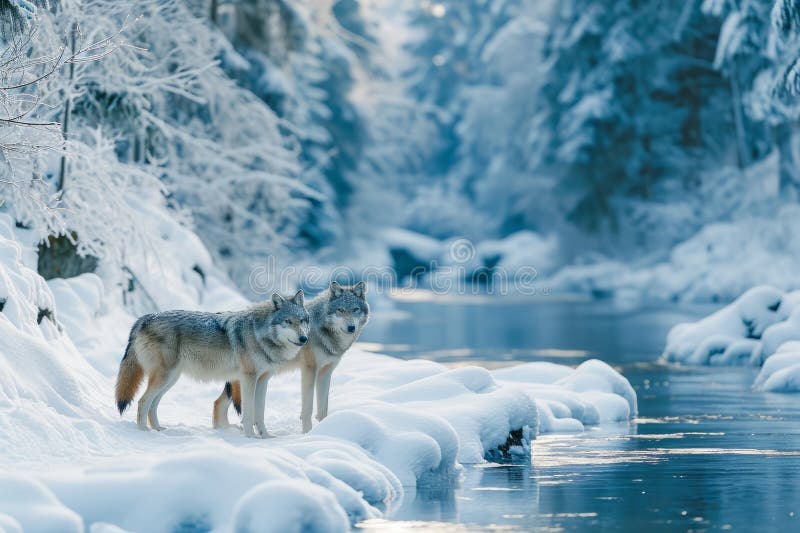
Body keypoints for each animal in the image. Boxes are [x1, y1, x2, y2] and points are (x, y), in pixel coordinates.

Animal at [115, 290, 309, 438]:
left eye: (302, 321)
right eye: (287, 321)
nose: (304, 338)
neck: (259, 334)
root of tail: (144, 318)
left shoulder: (263, 381)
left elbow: (260, 413)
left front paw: (266, 437)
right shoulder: (248, 379)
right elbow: (248, 413)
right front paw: (251, 438)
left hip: (170, 380)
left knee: (152, 405)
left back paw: (158, 429)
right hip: (164, 378)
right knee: (142, 402)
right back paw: (144, 432)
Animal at [213, 281, 369, 434]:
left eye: (355, 309)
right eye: (340, 310)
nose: (351, 327)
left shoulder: (326, 372)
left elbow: (323, 409)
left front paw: (326, 428)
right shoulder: (309, 369)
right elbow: (308, 408)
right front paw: (307, 433)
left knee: (217, 403)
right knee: (220, 403)